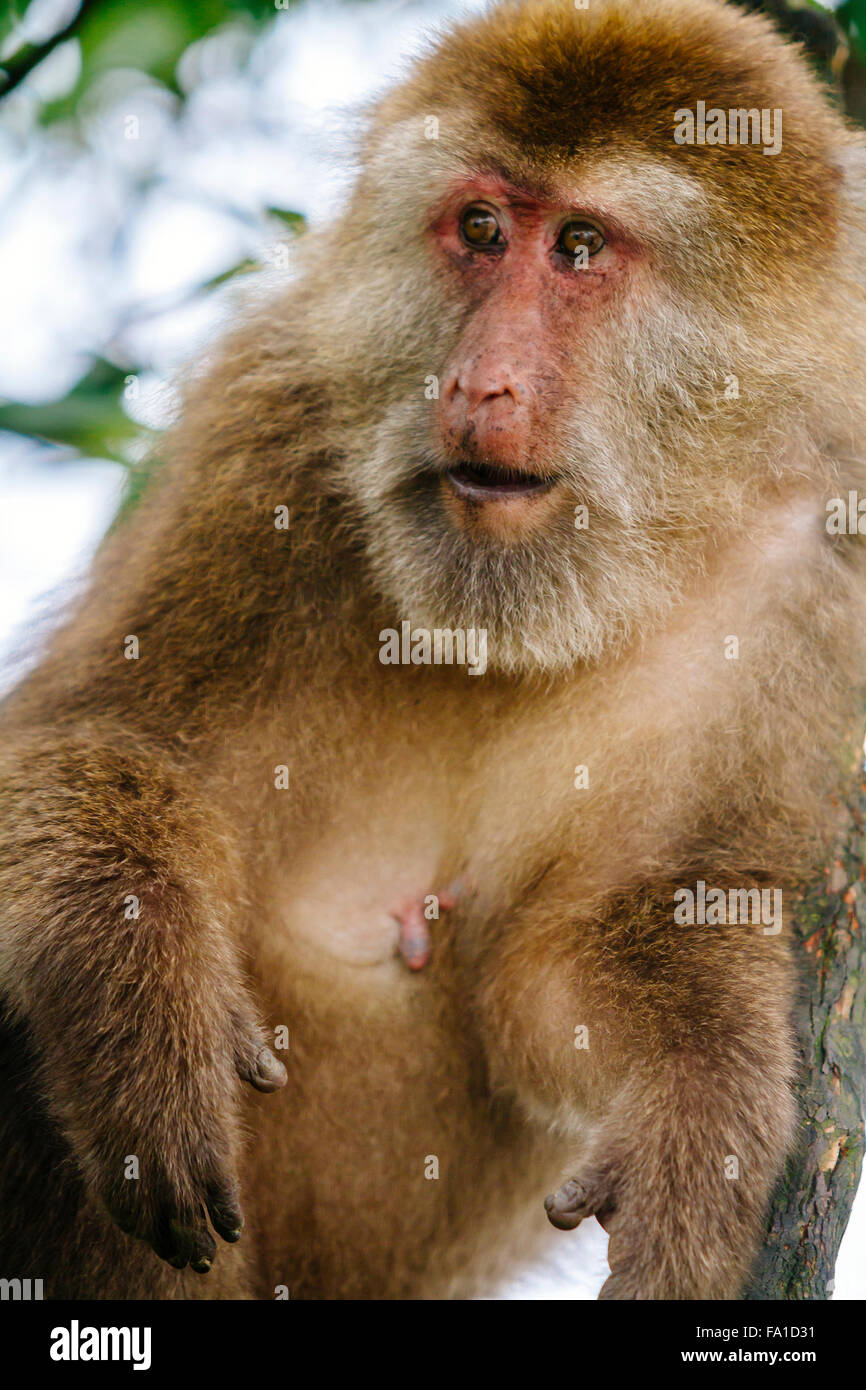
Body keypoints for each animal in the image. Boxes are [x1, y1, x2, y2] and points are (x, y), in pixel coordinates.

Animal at [1, 0, 865, 1301]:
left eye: (577, 247)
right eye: (478, 229)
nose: (475, 382)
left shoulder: (812, 585)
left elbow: (554, 969)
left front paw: (698, 1087)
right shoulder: (278, 415)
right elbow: (73, 742)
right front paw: (134, 987)